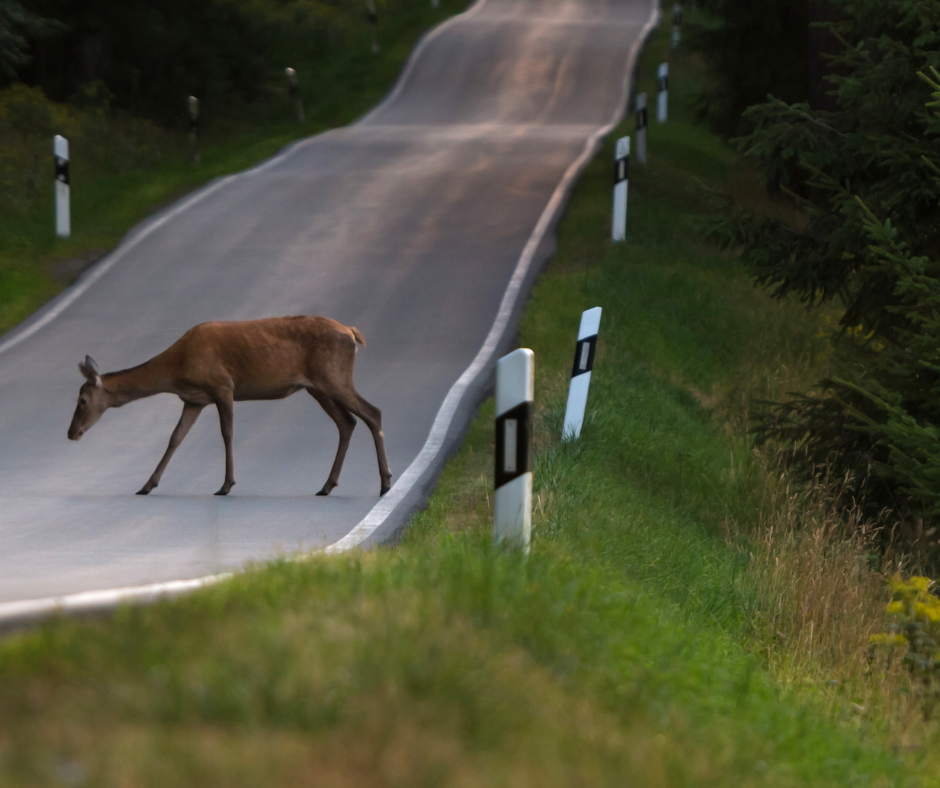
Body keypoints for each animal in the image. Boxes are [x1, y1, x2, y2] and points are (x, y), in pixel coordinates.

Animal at [67, 315, 392, 498]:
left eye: (82, 401)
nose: (71, 433)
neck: (176, 369)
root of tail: (351, 332)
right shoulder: (194, 400)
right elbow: (175, 438)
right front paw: (147, 485)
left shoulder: (222, 386)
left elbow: (227, 433)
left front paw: (226, 484)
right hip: (317, 386)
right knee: (347, 422)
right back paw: (327, 485)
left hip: (333, 376)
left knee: (372, 413)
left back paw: (385, 483)